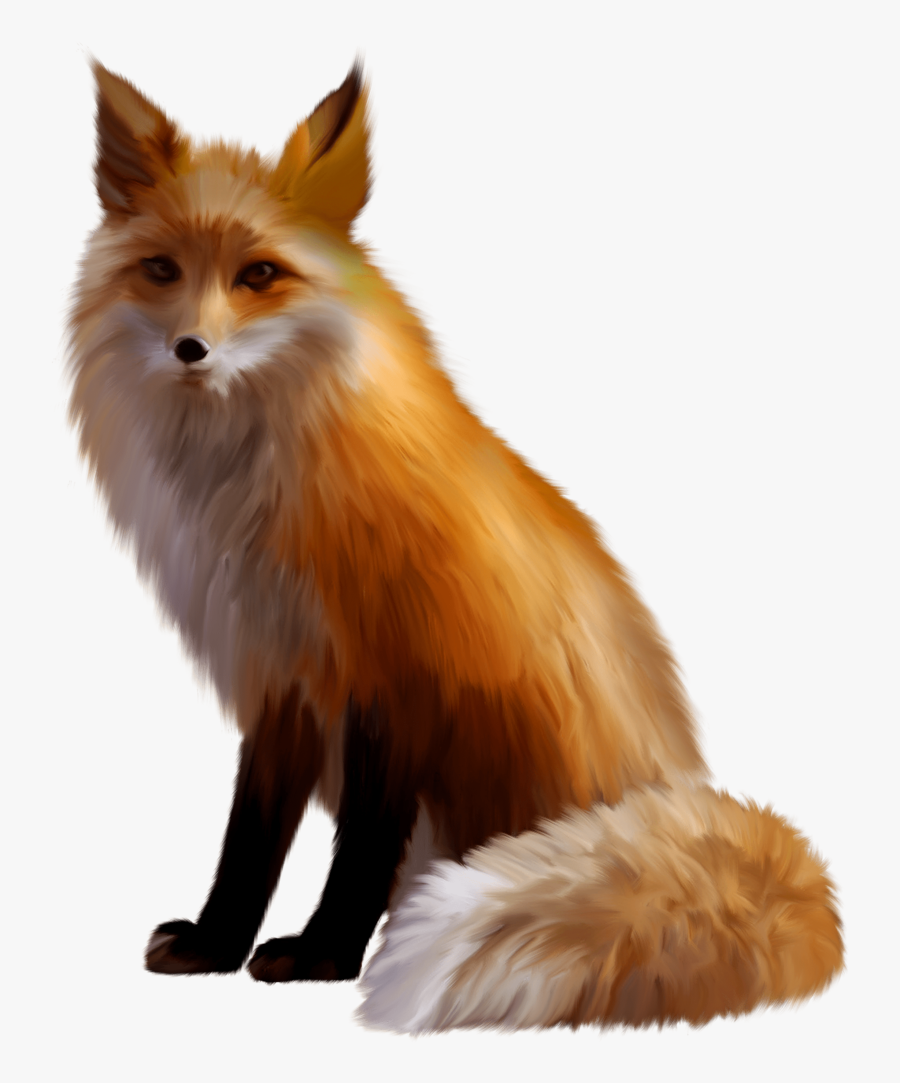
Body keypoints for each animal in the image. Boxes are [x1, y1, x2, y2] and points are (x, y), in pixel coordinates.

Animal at [67, 60, 843, 1032]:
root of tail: (683, 790)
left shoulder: (399, 680)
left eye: (259, 275)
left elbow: (361, 847)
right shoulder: (278, 677)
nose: (190, 349)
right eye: (161, 270)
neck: (260, 500)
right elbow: (250, 836)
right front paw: (217, 944)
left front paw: (323, 956)